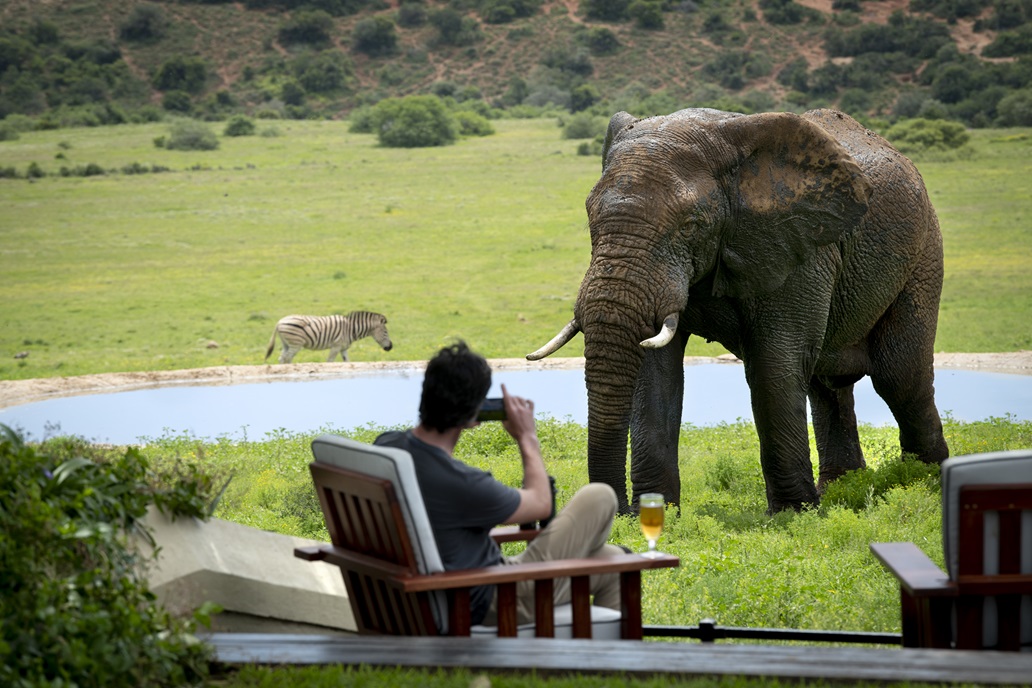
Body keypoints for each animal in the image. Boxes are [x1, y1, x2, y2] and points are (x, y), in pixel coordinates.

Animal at [528, 108, 949, 514]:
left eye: (691, 225)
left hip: (924, 252)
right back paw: (842, 491)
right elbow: (655, 369)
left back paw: (922, 483)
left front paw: (793, 516)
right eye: (589, 217)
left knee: (898, 376)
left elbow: (774, 362)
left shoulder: (799, 248)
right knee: (827, 384)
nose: (619, 512)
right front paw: (656, 517)